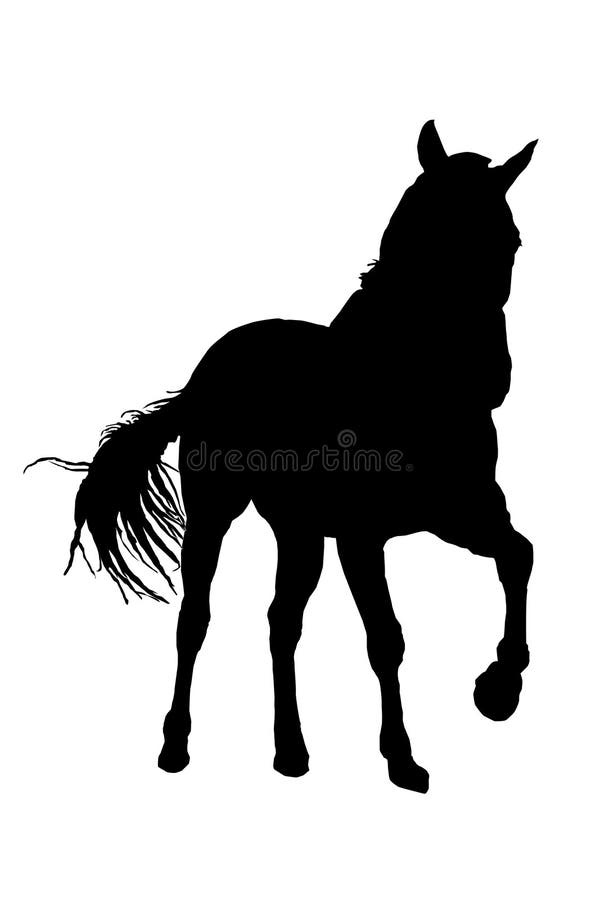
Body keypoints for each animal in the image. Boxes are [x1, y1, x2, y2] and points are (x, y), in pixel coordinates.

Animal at [29, 121, 537, 793]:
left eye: (509, 241)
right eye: (422, 230)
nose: (493, 377)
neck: (407, 390)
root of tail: (206, 375)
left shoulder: (461, 516)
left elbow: (518, 555)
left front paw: (499, 688)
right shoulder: (362, 538)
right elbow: (386, 639)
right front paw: (402, 757)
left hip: (299, 533)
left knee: (281, 624)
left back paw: (291, 751)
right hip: (216, 514)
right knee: (195, 620)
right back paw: (175, 745)